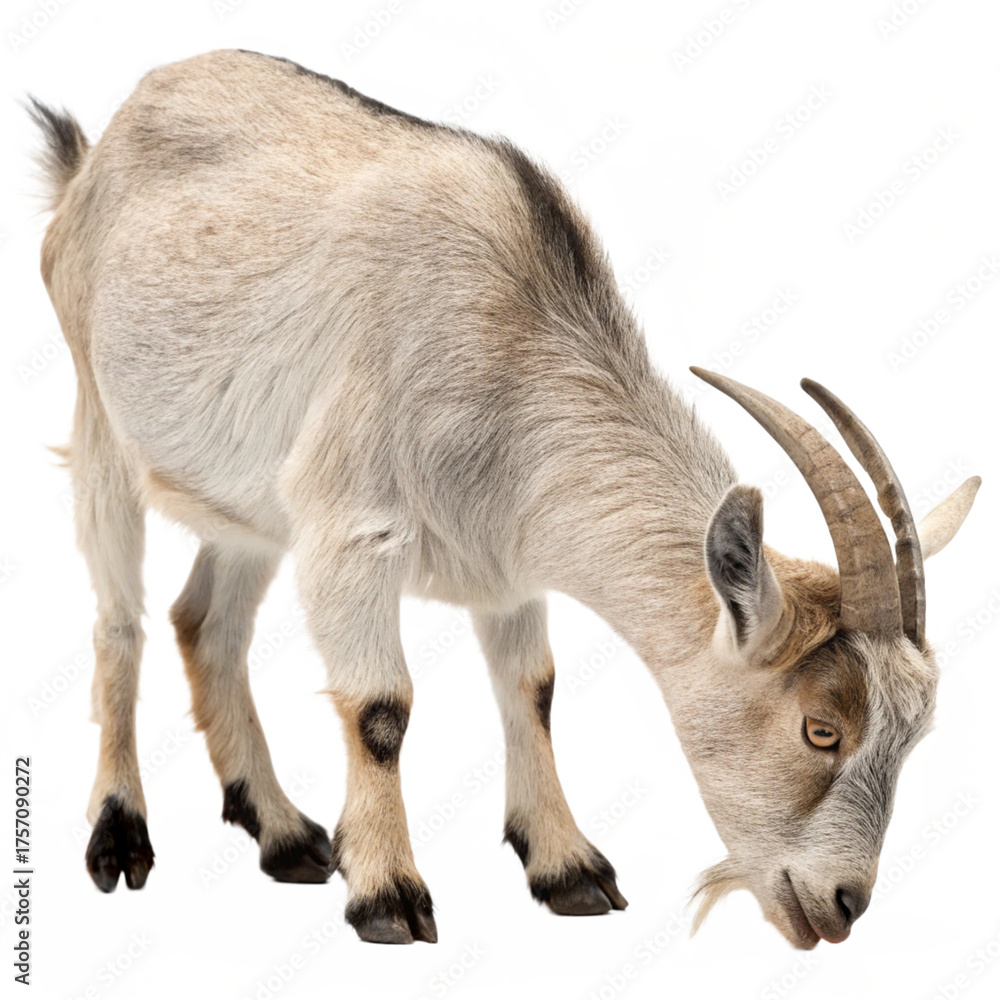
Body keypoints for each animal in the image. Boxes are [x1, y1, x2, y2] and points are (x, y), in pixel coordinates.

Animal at [30, 49, 980, 947]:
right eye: (822, 728)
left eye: (913, 738)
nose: (844, 905)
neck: (509, 346)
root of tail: (92, 159)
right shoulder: (350, 531)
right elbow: (381, 708)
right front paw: (388, 896)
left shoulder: (505, 561)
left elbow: (534, 691)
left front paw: (567, 870)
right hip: (99, 418)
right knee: (119, 623)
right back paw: (122, 836)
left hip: (250, 508)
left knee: (205, 623)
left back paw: (286, 836)